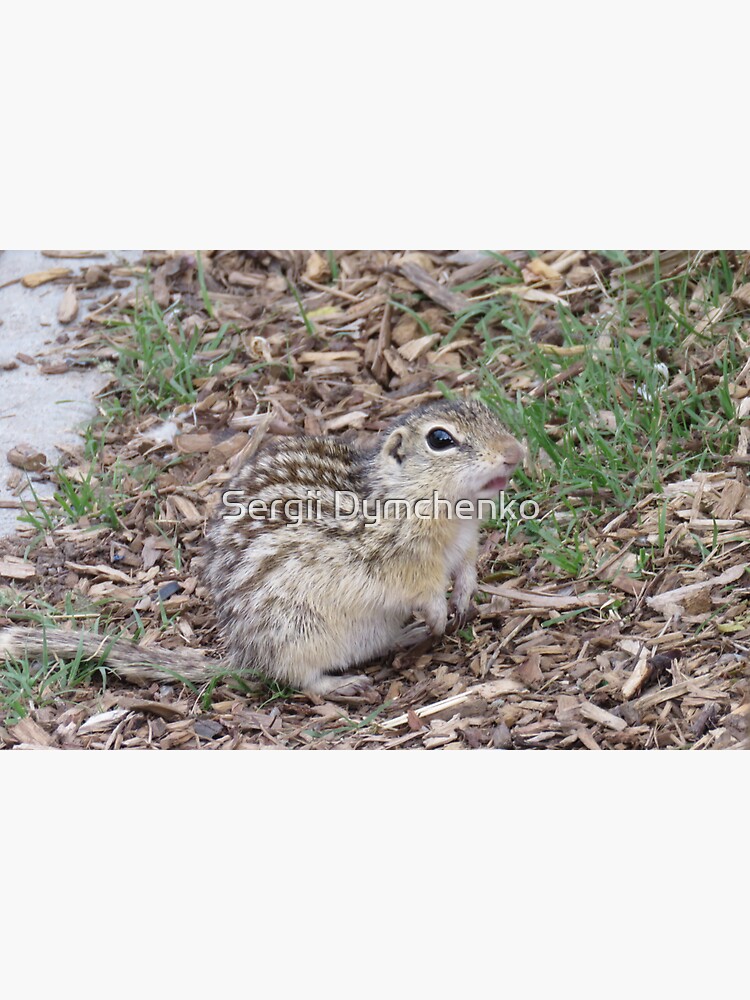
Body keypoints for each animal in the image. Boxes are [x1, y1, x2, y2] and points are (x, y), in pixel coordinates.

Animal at [0, 399, 523, 698]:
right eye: (441, 439)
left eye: (490, 413)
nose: (516, 452)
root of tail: (244, 656)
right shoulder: (400, 561)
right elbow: (422, 587)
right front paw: (437, 613)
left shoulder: (466, 543)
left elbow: (467, 569)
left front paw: (464, 597)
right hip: (297, 632)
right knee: (296, 679)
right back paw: (342, 684)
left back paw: (406, 637)